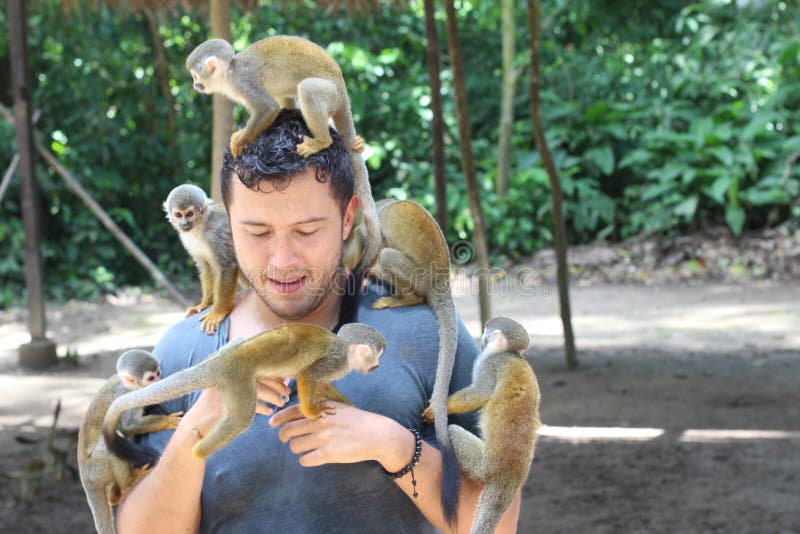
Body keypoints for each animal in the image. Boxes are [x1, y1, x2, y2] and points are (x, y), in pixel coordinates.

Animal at [78, 350, 183, 534]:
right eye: (150, 378)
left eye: (158, 373)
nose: (159, 381)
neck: (130, 387)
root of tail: (86, 478)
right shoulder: (127, 398)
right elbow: (129, 426)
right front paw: (167, 421)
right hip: (96, 469)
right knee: (108, 447)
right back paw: (127, 483)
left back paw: (114, 493)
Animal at [102, 323, 386, 464]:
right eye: (377, 356)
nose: (378, 366)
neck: (345, 348)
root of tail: (221, 362)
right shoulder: (337, 360)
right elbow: (309, 375)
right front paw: (313, 412)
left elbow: (322, 383)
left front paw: (345, 402)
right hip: (238, 379)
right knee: (239, 420)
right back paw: (198, 452)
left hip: (231, 356)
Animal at [164, 183, 241, 335]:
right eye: (178, 214)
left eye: (189, 214)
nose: (184, 223)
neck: (201, 225)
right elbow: (206, 268)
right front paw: (204, 304)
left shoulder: (216, 233)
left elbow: (228, 266)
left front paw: (217, 312)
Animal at [185, 35, 382, 277]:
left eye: (196, 76)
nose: (195, 85)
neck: (230, 71)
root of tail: (343, 90)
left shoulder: (243, 83)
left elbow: (267, 108)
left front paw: (239, 141)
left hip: (331, 93)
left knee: (308, 89)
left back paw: (321, 141)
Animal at [422, 317, 541, 534]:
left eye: (486, 331)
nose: (481, 340)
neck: (510, 353)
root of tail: (510, 476)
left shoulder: (488, 364)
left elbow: (480, 392)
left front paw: (437, 408)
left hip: (482, 465)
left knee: (452, 431)